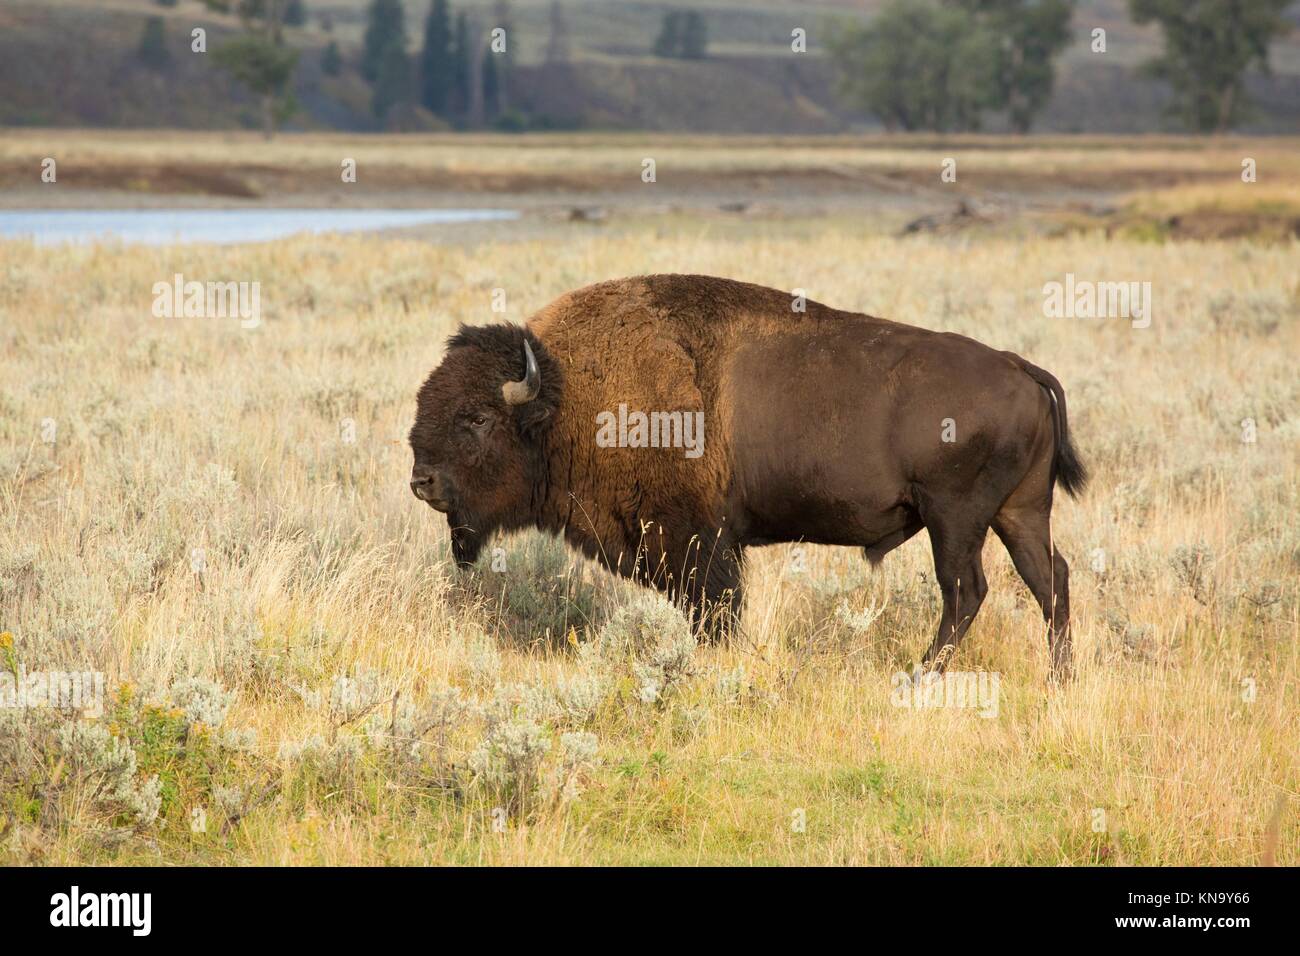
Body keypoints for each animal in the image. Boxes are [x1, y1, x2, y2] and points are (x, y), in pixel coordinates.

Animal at [410, 275, 1086, 679]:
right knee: (1049, 579)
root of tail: (1022, 368)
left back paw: (922, 673)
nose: (423, 482)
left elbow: (716, 608)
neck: (567, 396)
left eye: (475, 417)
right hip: (1019, 512)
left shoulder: (697, 542)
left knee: (967, 590)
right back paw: (1059, 677)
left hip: (956, 518)